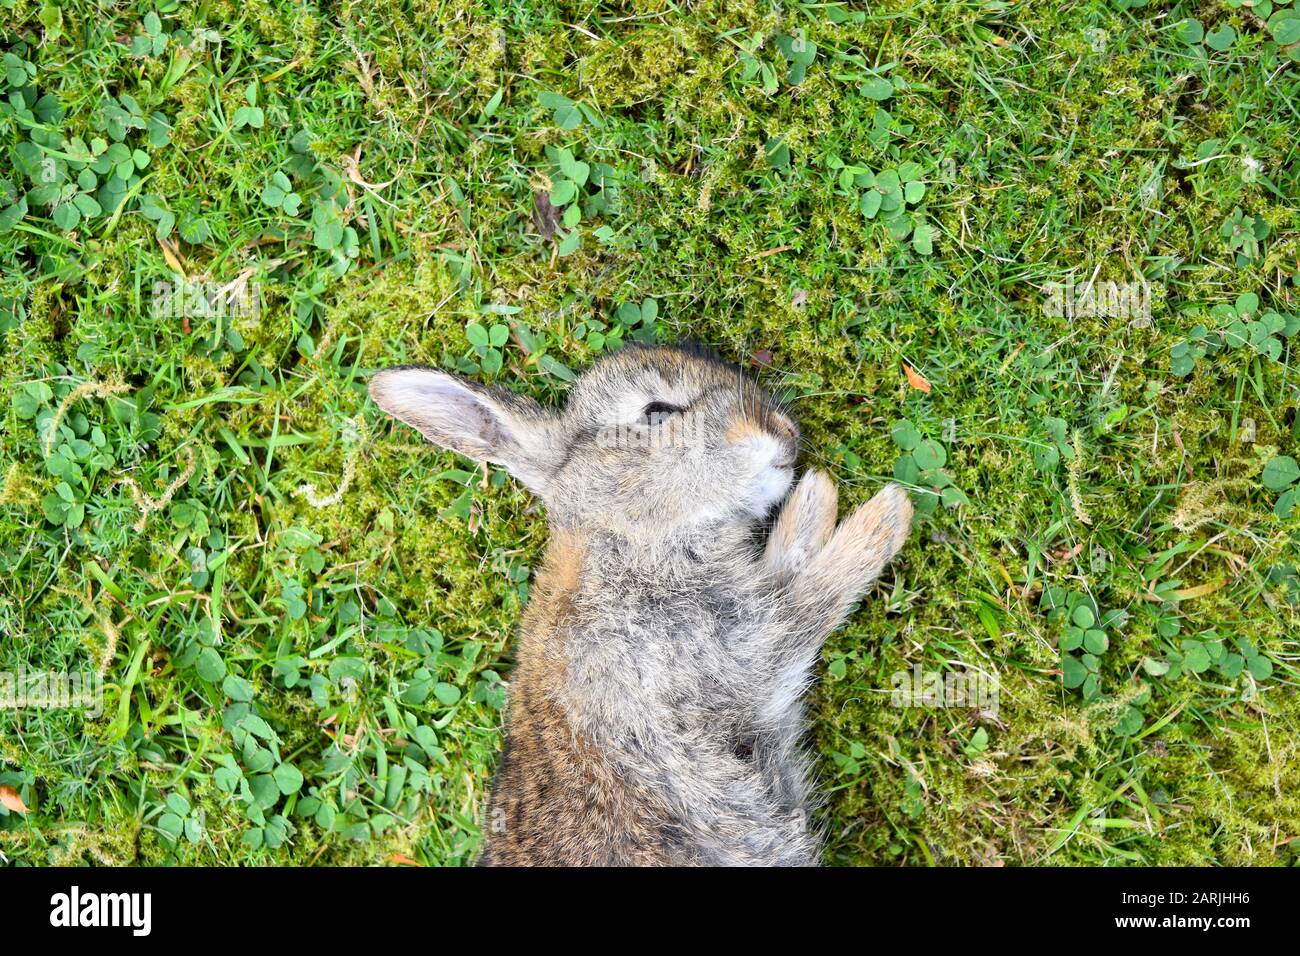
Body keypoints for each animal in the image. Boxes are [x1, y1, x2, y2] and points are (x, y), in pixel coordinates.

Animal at [368, 343, 913, 865]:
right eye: (657, 412)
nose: (785, 433)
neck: (626, 538)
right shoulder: (726, 655)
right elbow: (812, 602)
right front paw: (885, 515)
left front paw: (815, 499)